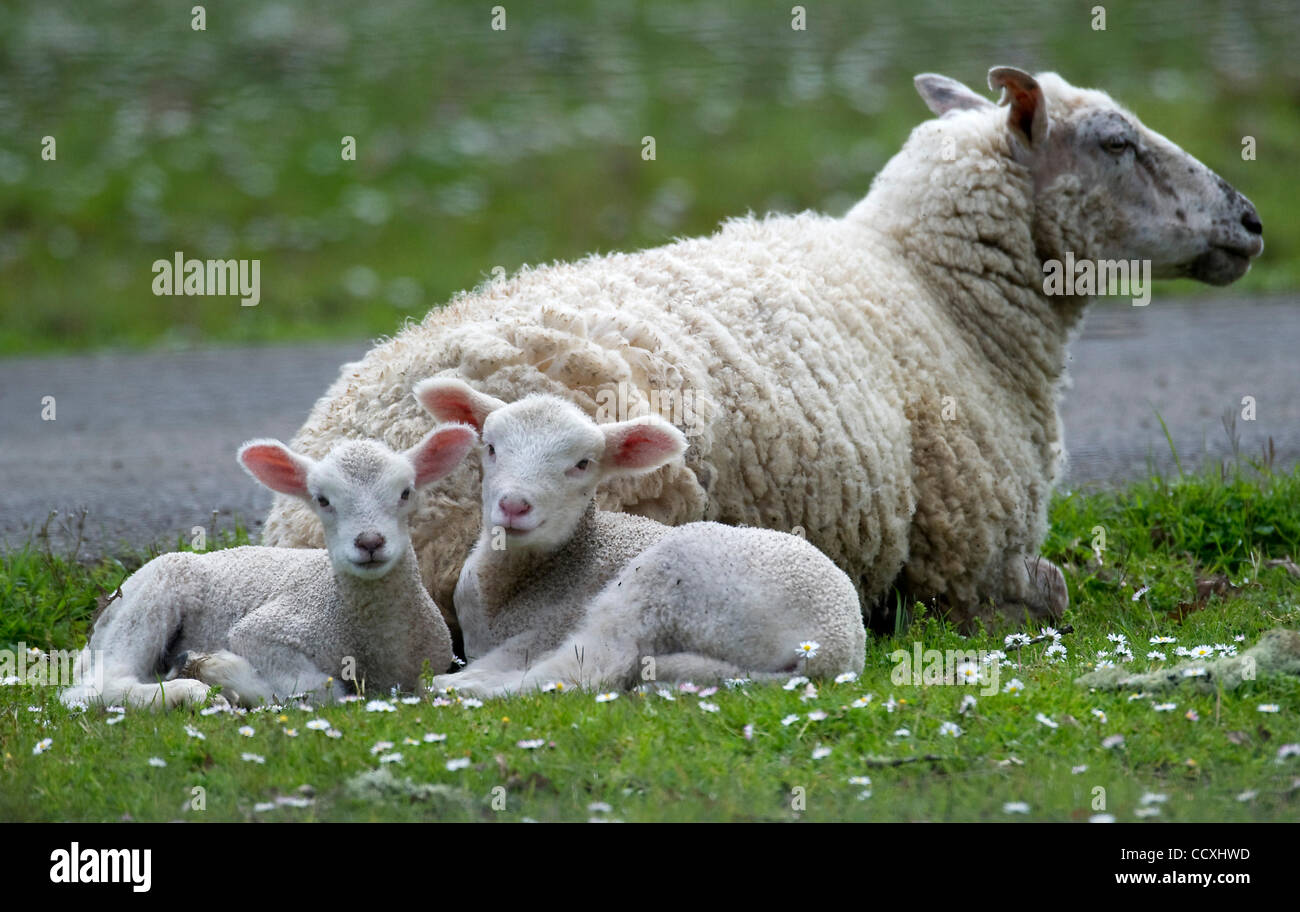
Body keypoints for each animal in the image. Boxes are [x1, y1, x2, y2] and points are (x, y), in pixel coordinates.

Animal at [59, 424, 476, 709]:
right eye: (322, 500)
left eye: (406, 492)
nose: (370, 542)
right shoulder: (269, 631)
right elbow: (319, 689)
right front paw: (221, 670)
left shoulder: (431, 662)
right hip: (153, 593)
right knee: (95, 687)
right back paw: (187, 692)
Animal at [416, 378, 865, 698]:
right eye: (490, 448)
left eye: (583, 464)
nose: (513, 505)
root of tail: (833, 645)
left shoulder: (549, 625)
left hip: (664, 584)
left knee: (590, 668)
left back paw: (464, 687)